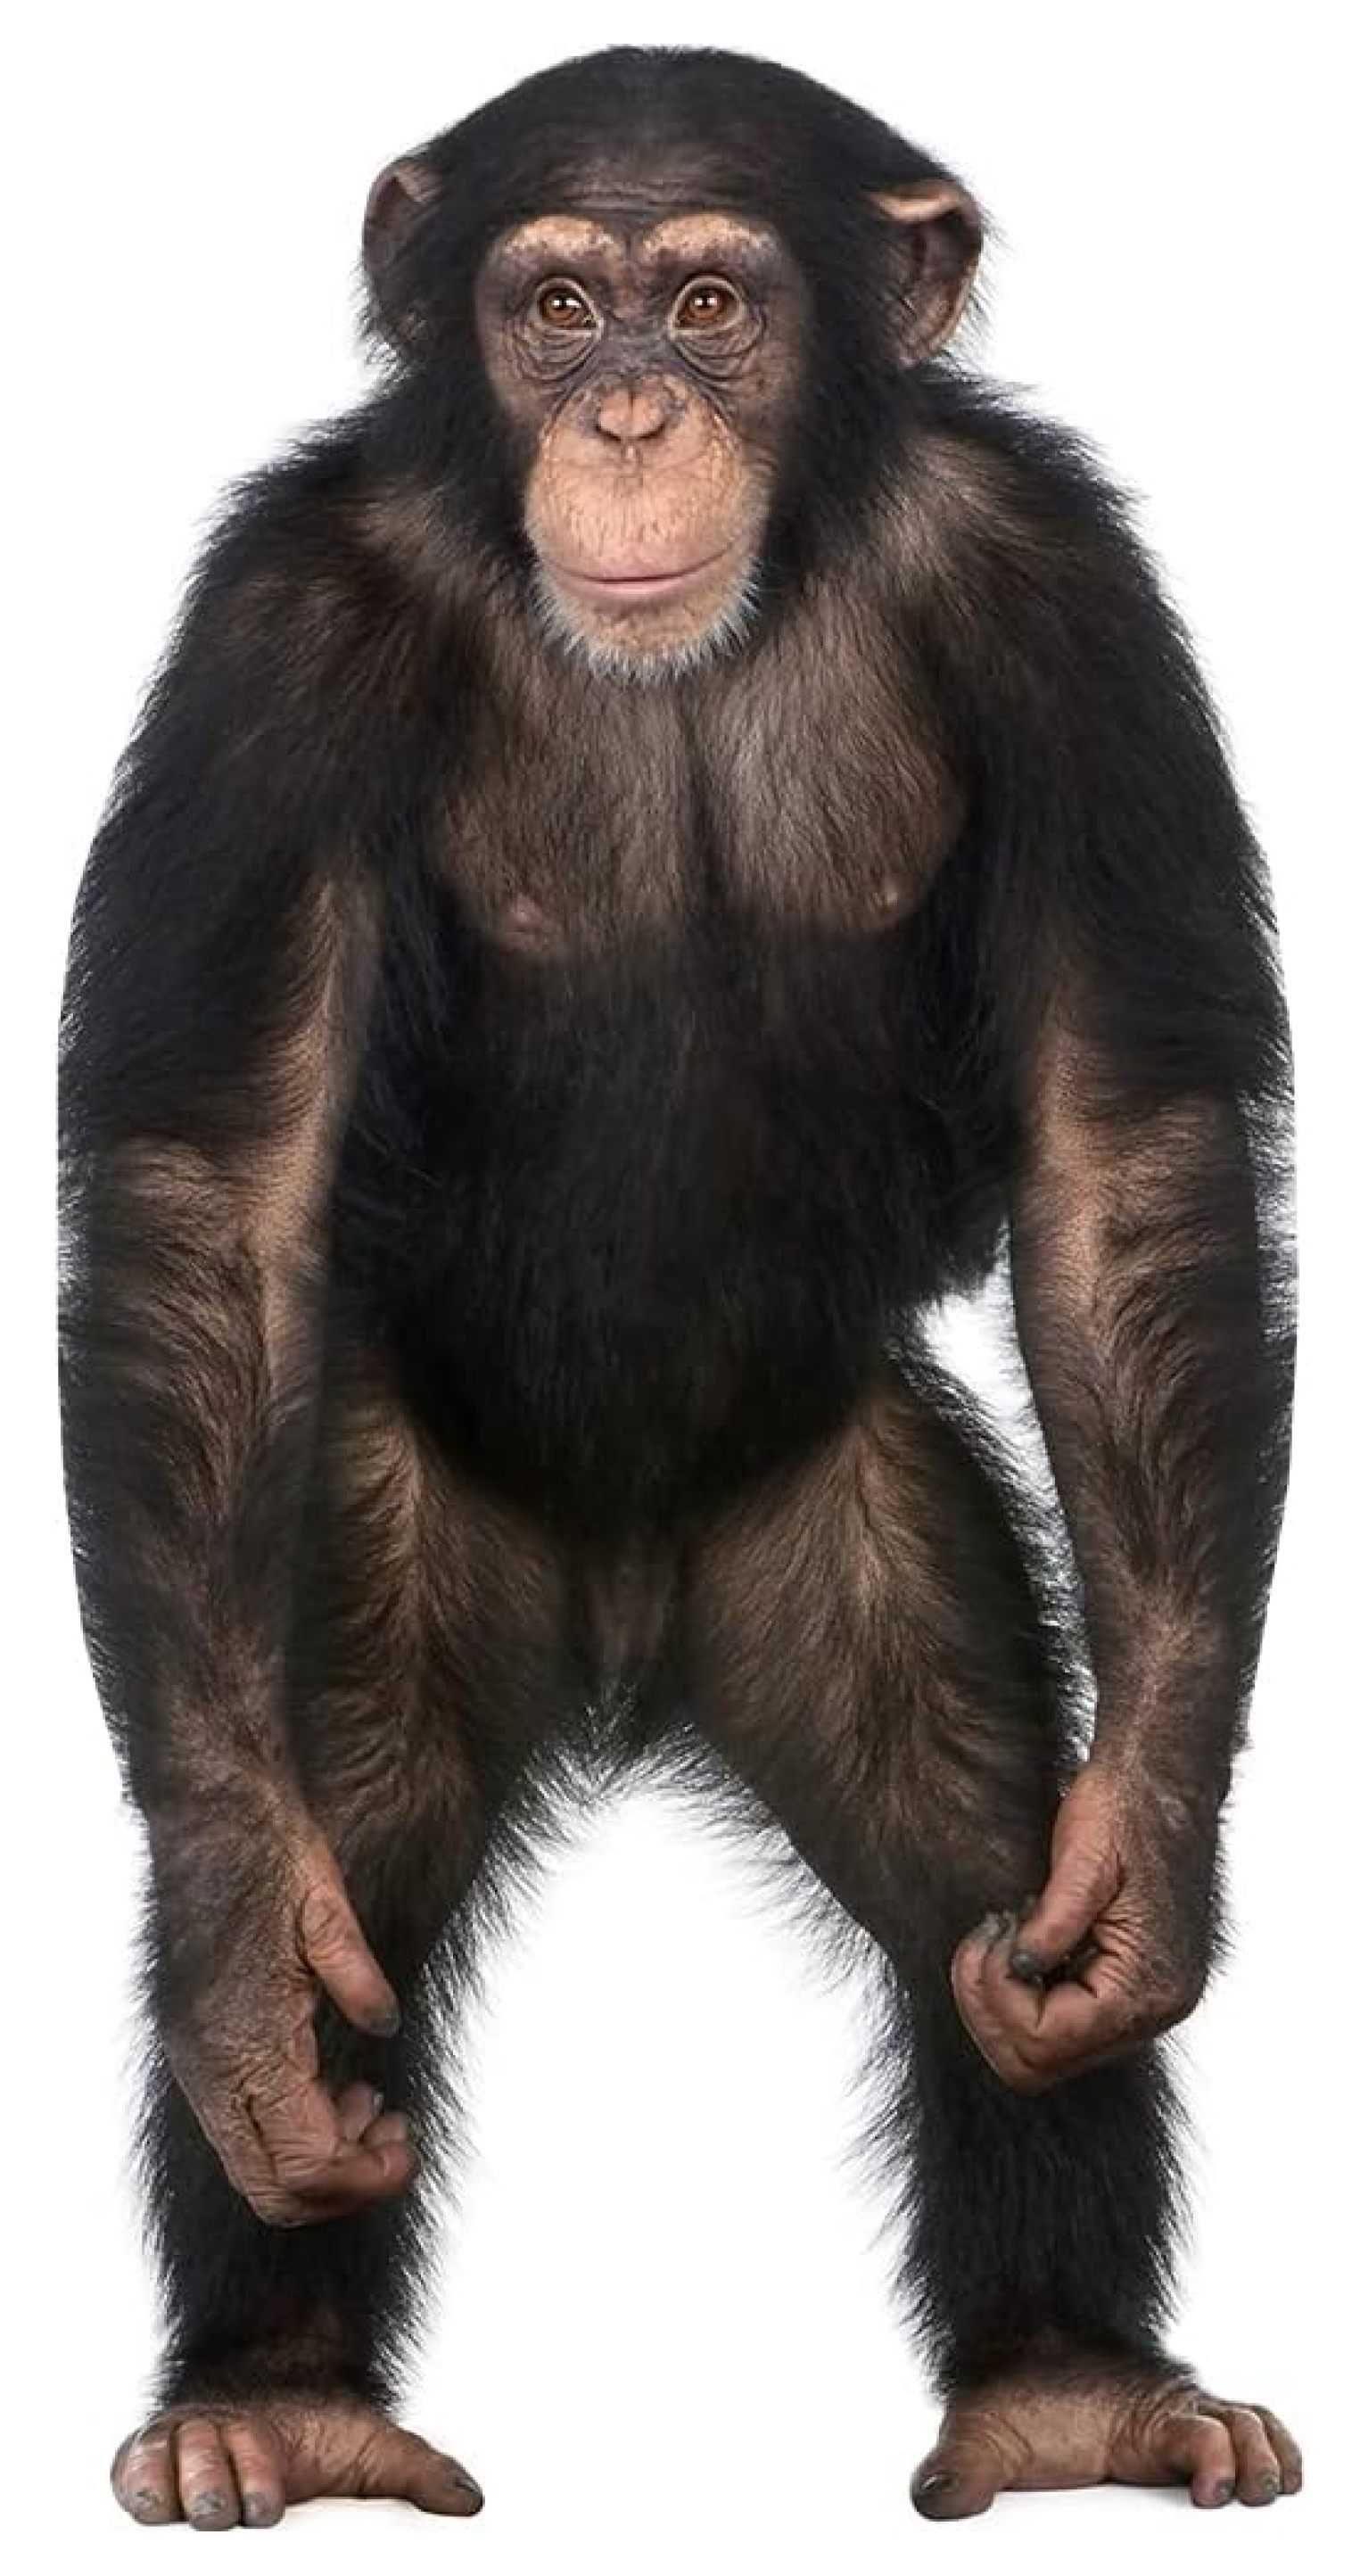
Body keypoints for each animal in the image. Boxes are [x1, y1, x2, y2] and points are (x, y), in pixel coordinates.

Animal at [59, 45, 1297, 2529]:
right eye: (554, 306)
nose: (627, 407)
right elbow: (211, 1187)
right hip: (382, 1556)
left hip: (850, 1521)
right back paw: (272, 2390)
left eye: (710, 301)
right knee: (351, 1832)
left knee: (965, 1845)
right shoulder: (272, 636)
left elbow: (1121, 1147)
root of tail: (628, 1650)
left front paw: (1149, 1871)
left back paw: (1067, 2379)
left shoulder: (1063, 592)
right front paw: (238, 1971)